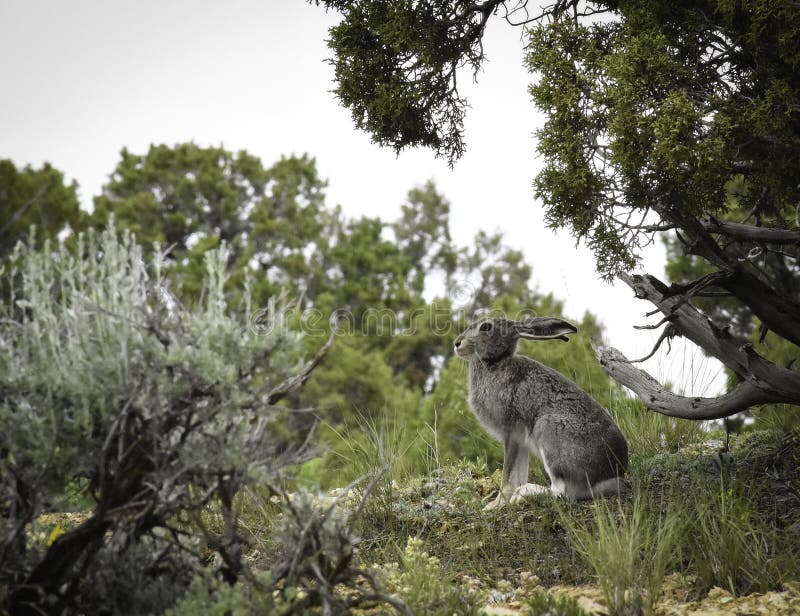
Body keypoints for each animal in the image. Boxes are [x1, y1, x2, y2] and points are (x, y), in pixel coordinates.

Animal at [454, 316, 628, 509]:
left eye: (486, 327)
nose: (457, 343)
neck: (496, 363)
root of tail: (612, 470)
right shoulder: (520, 440)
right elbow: (517, 473)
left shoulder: (511, 431)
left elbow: (508, 475)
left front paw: (494, 505)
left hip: (548, 429)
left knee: (563, 493)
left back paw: (525, 494)